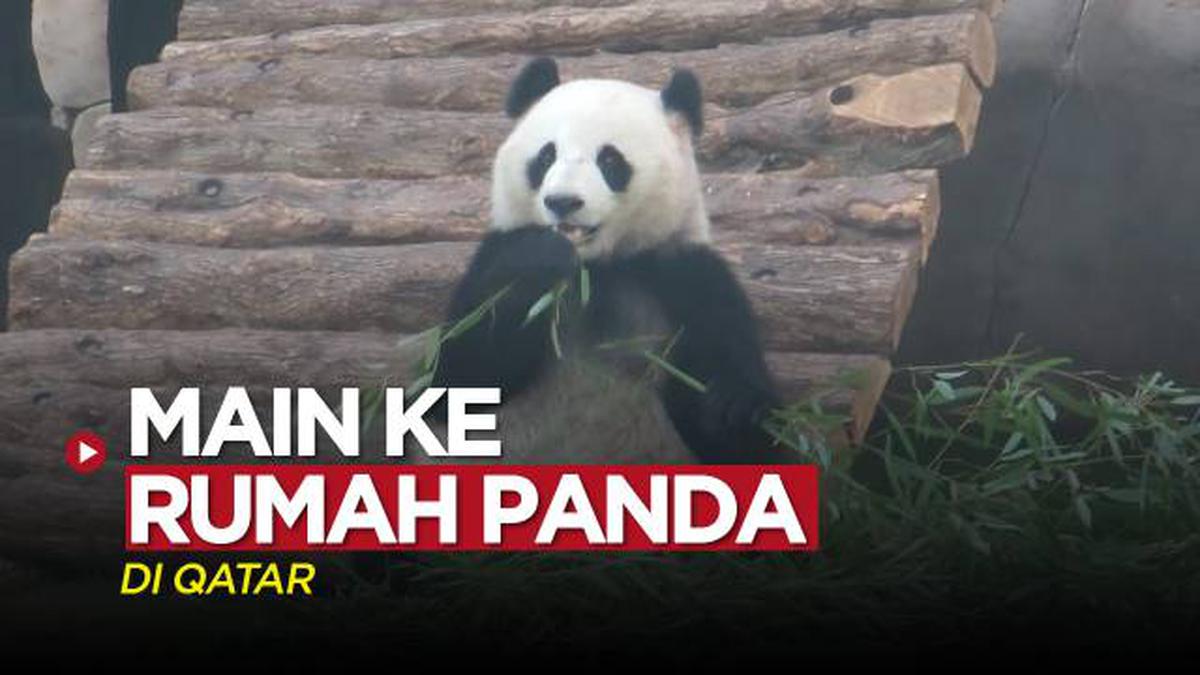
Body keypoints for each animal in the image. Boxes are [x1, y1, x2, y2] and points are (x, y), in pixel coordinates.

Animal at [429, 57, 788, 465]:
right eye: (546, 156)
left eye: (610, 160)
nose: (563, 202)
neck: (598, 267)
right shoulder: (492, 256)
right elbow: (460, 380)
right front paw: (540, 259)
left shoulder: (685, 275)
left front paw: (733, 407)